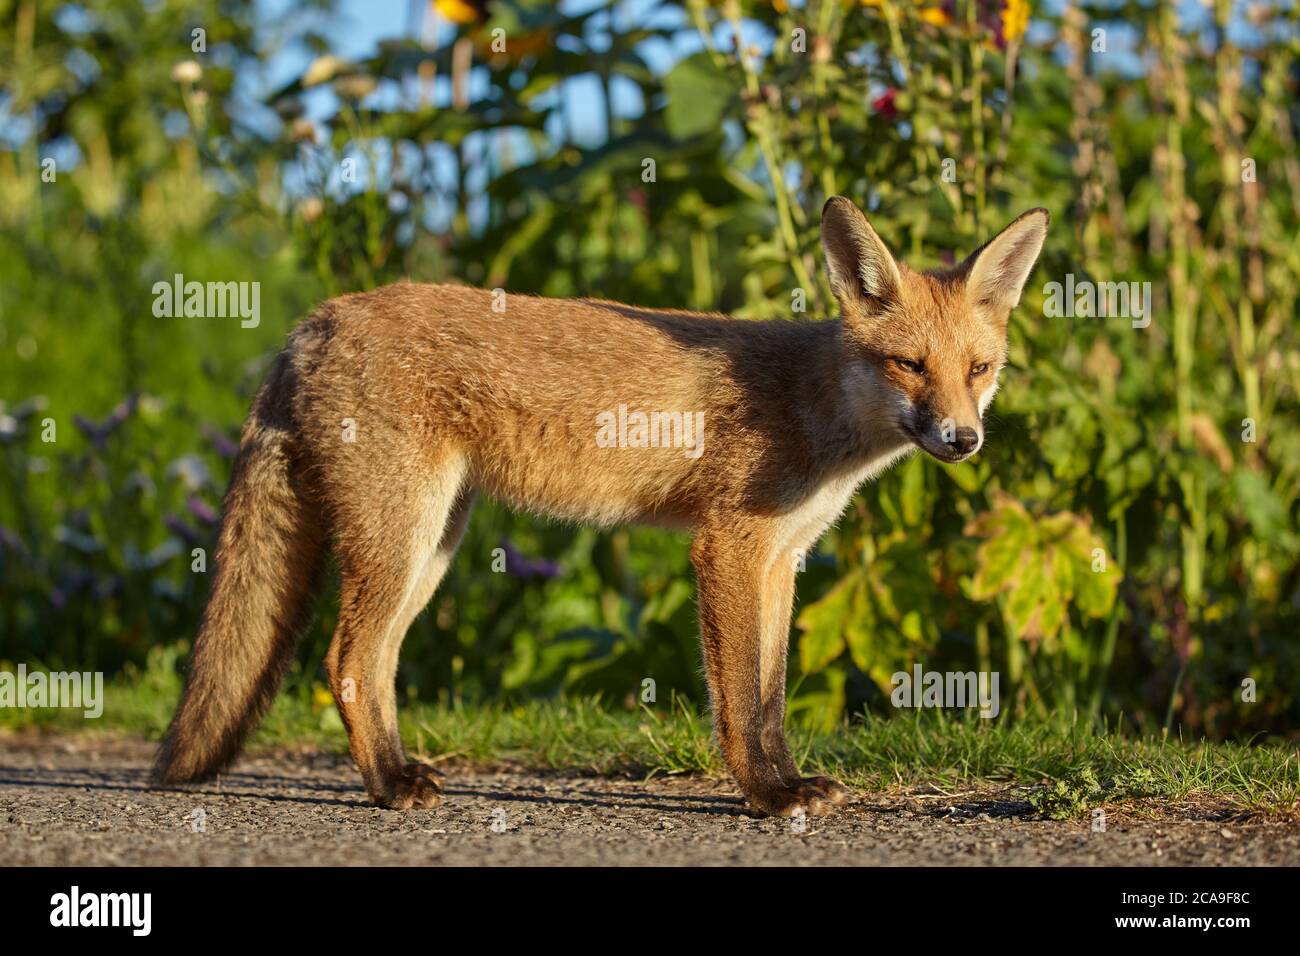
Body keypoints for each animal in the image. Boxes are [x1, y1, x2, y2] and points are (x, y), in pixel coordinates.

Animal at [153, 196, 1049, 817]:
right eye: (909, 365)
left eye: (978, 369)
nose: (963, 439)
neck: (810, 406)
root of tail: (314, 319)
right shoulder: (726, 547)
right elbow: (739, 703)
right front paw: (767, 797)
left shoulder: (781, 557)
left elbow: (771, 697)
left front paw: (788, 783)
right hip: (400, 538)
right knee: (342, 658)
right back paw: (387, 785)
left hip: (433, 547)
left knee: (373, 663)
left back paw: (398, 771)